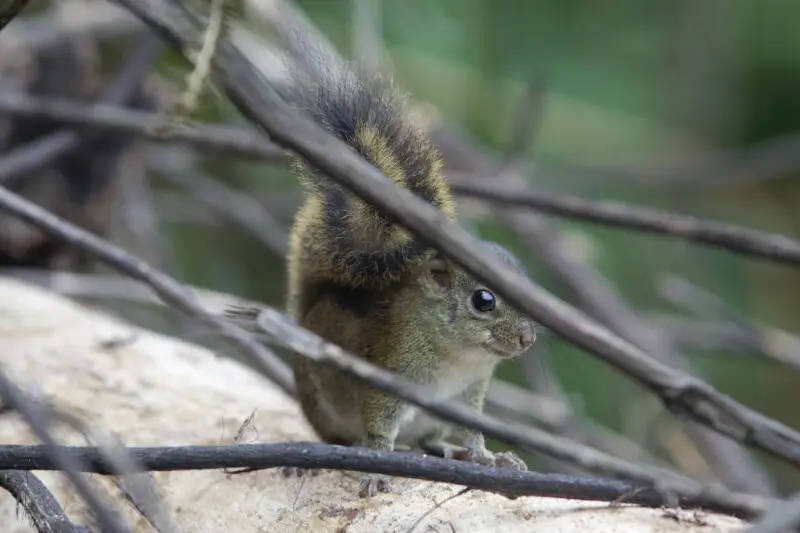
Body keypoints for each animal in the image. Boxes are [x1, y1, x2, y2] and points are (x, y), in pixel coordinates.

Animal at [267, 43, 537, 498]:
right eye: (483, 300)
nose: (526, 339)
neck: (458, 356)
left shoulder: (468, 396)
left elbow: (473, 433)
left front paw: (487, 456)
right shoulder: (389, 372)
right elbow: (380, 427)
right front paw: (376, 465)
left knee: (428, 440)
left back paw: (448, 451)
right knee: (346, 435)